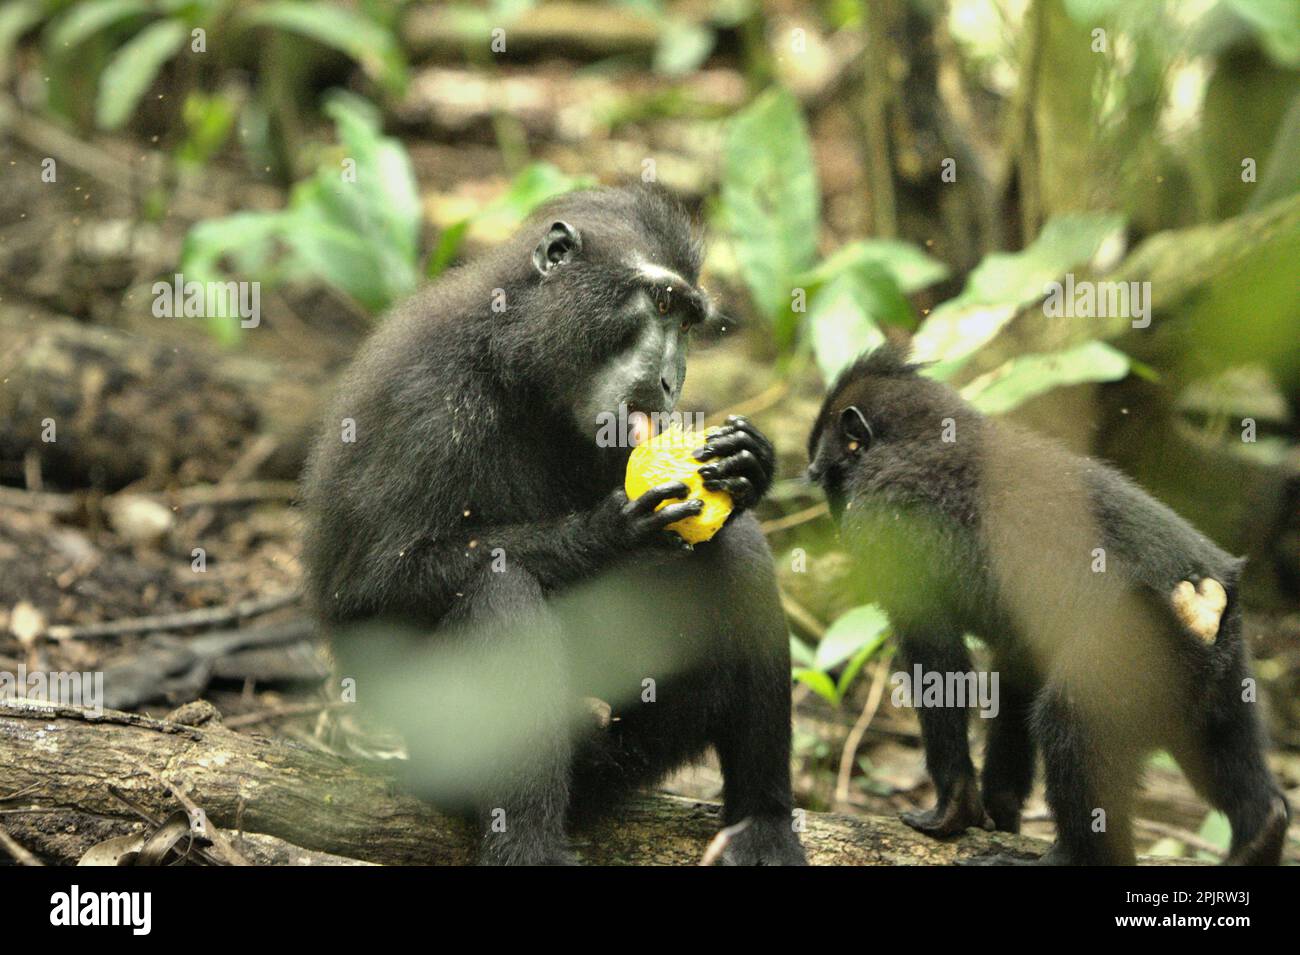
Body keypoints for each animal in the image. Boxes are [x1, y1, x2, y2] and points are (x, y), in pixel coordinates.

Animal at [301, 185, 806, 866]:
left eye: (688, 325)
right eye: (662, 304)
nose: (672, 381)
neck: (514, 361)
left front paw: (750, 462)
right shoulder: (431, 398)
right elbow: (371, 584)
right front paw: (605, 532)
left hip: (622, 745)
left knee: (740, 552)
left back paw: (763, 822)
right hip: (438, 746)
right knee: (500, 591)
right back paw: (526, 844)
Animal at [806, 344, 1289, 865]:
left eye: (824, 478)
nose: (834, 520)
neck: (917, 438)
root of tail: (1200, 596)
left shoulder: (884, 524)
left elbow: (938, 661)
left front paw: (954, 807)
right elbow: (1015, 670)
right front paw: (998, 809)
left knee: (1069, 722)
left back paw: (1074, 855)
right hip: (1221, 668)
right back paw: (1261, 829)